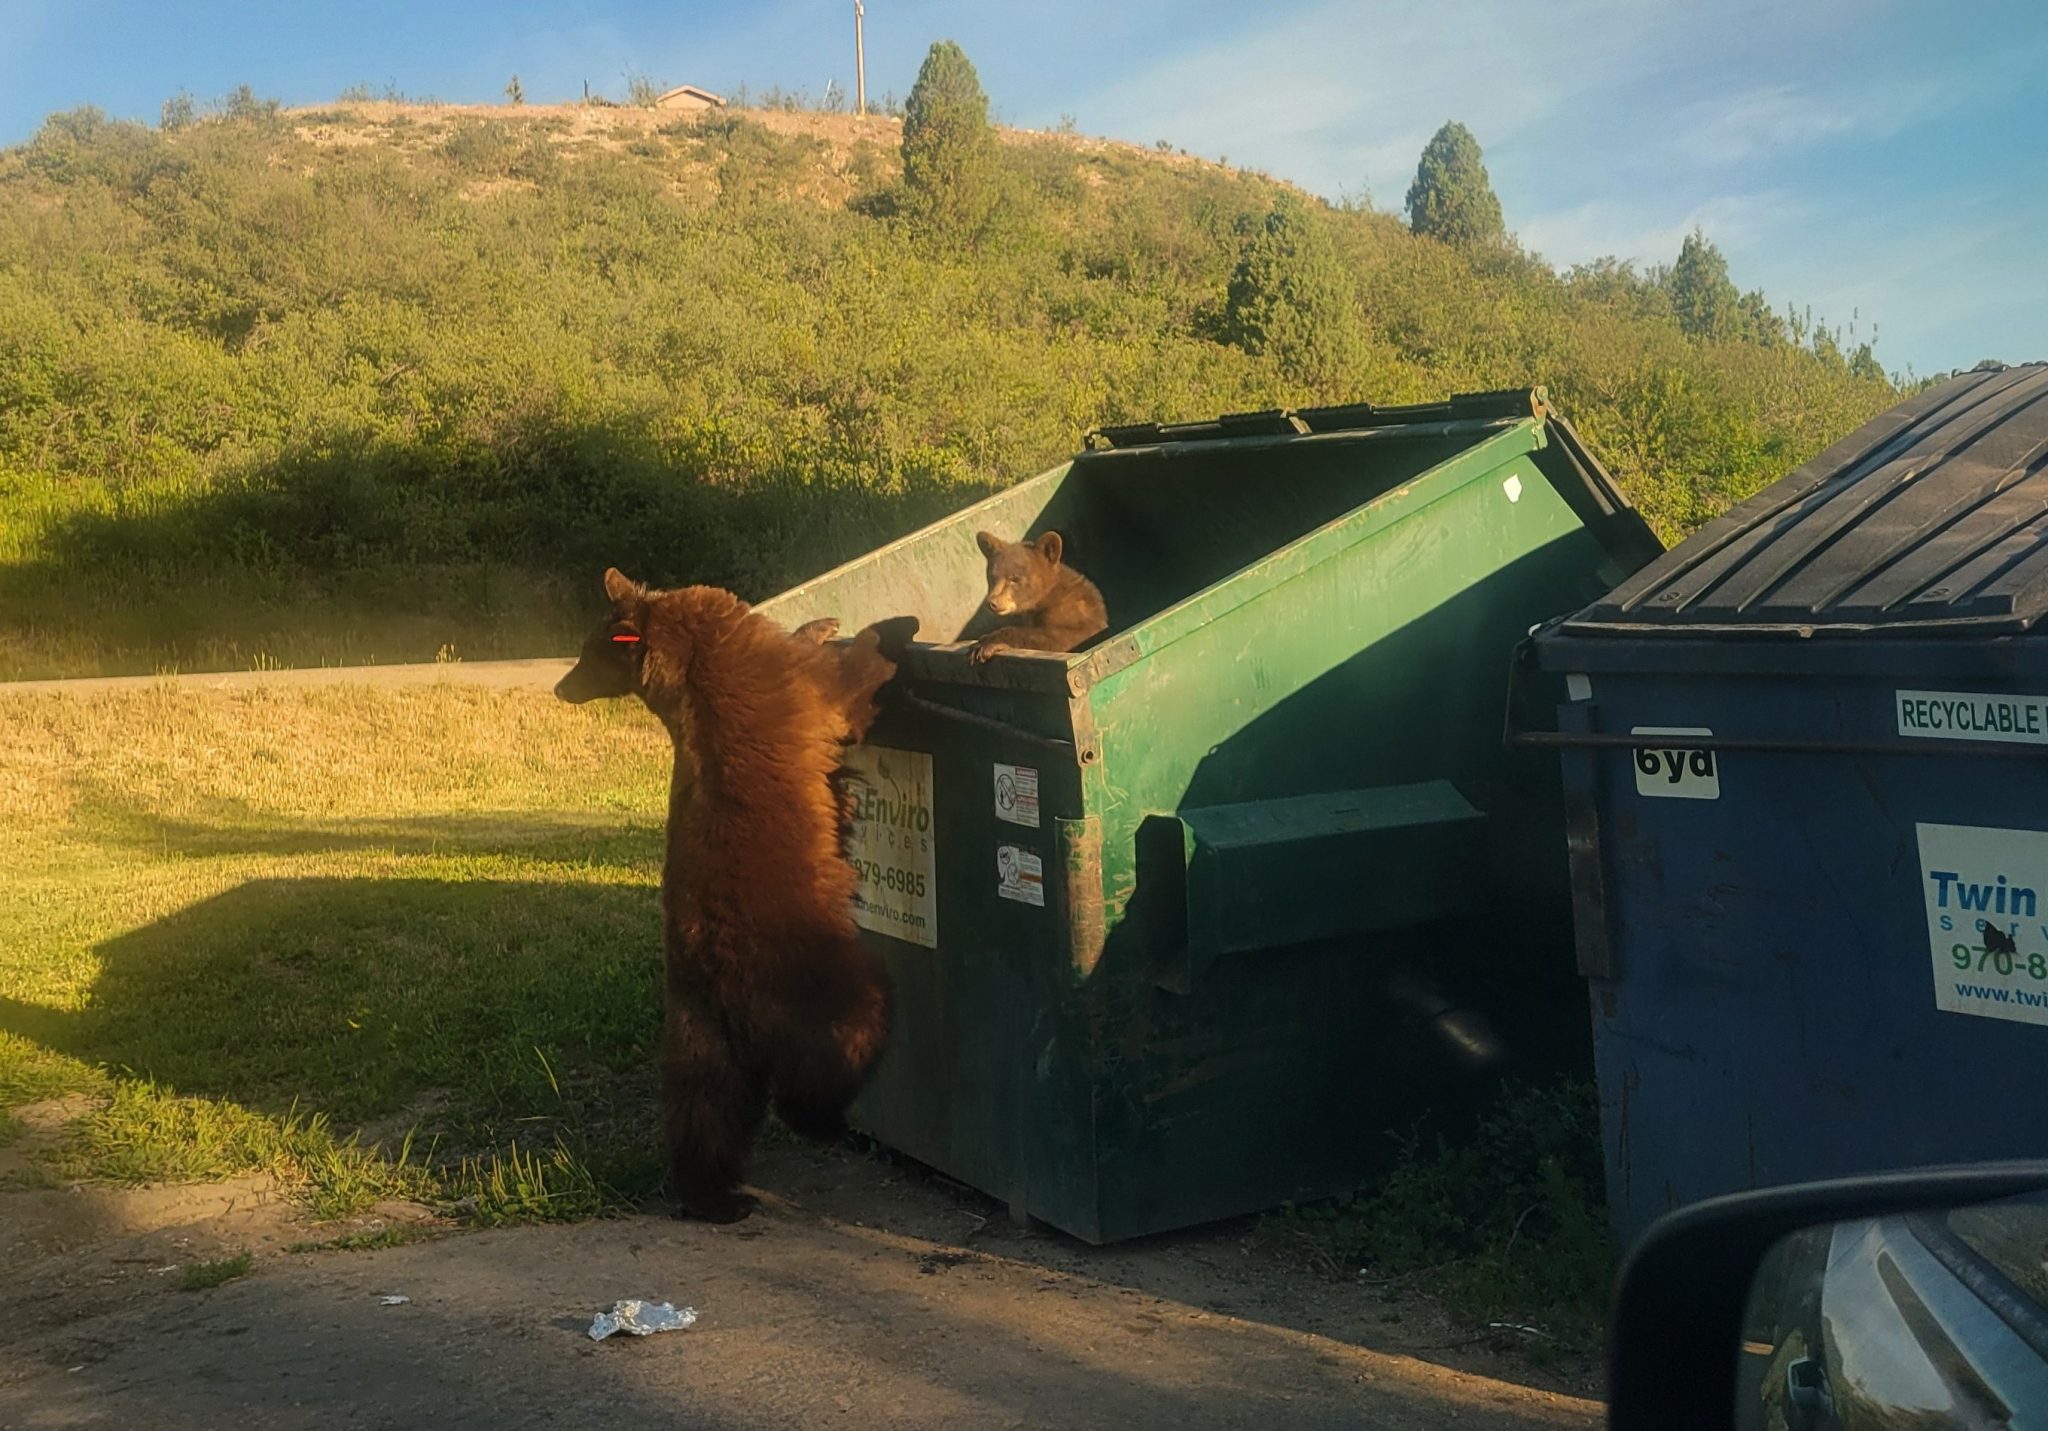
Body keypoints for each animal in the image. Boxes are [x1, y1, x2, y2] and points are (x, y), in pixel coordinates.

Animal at [554, 569, 910, 1222]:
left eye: (587, 655)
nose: (562, 686)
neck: (689, 655)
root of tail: (725, 985)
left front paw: (821, 622)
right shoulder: (788, 687)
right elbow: (845, 684)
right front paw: (886, 629)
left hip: (698, 1030)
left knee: (703, 1108)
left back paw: (715, 1195)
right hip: (819, 980)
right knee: (846, 1036)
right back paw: (823, 1122)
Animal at [969, 529, 1108, 664]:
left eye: (1014, 579)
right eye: (992, 577)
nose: (992, 603)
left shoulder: (1078, 616)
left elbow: (1059, 638)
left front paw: (986, 644)